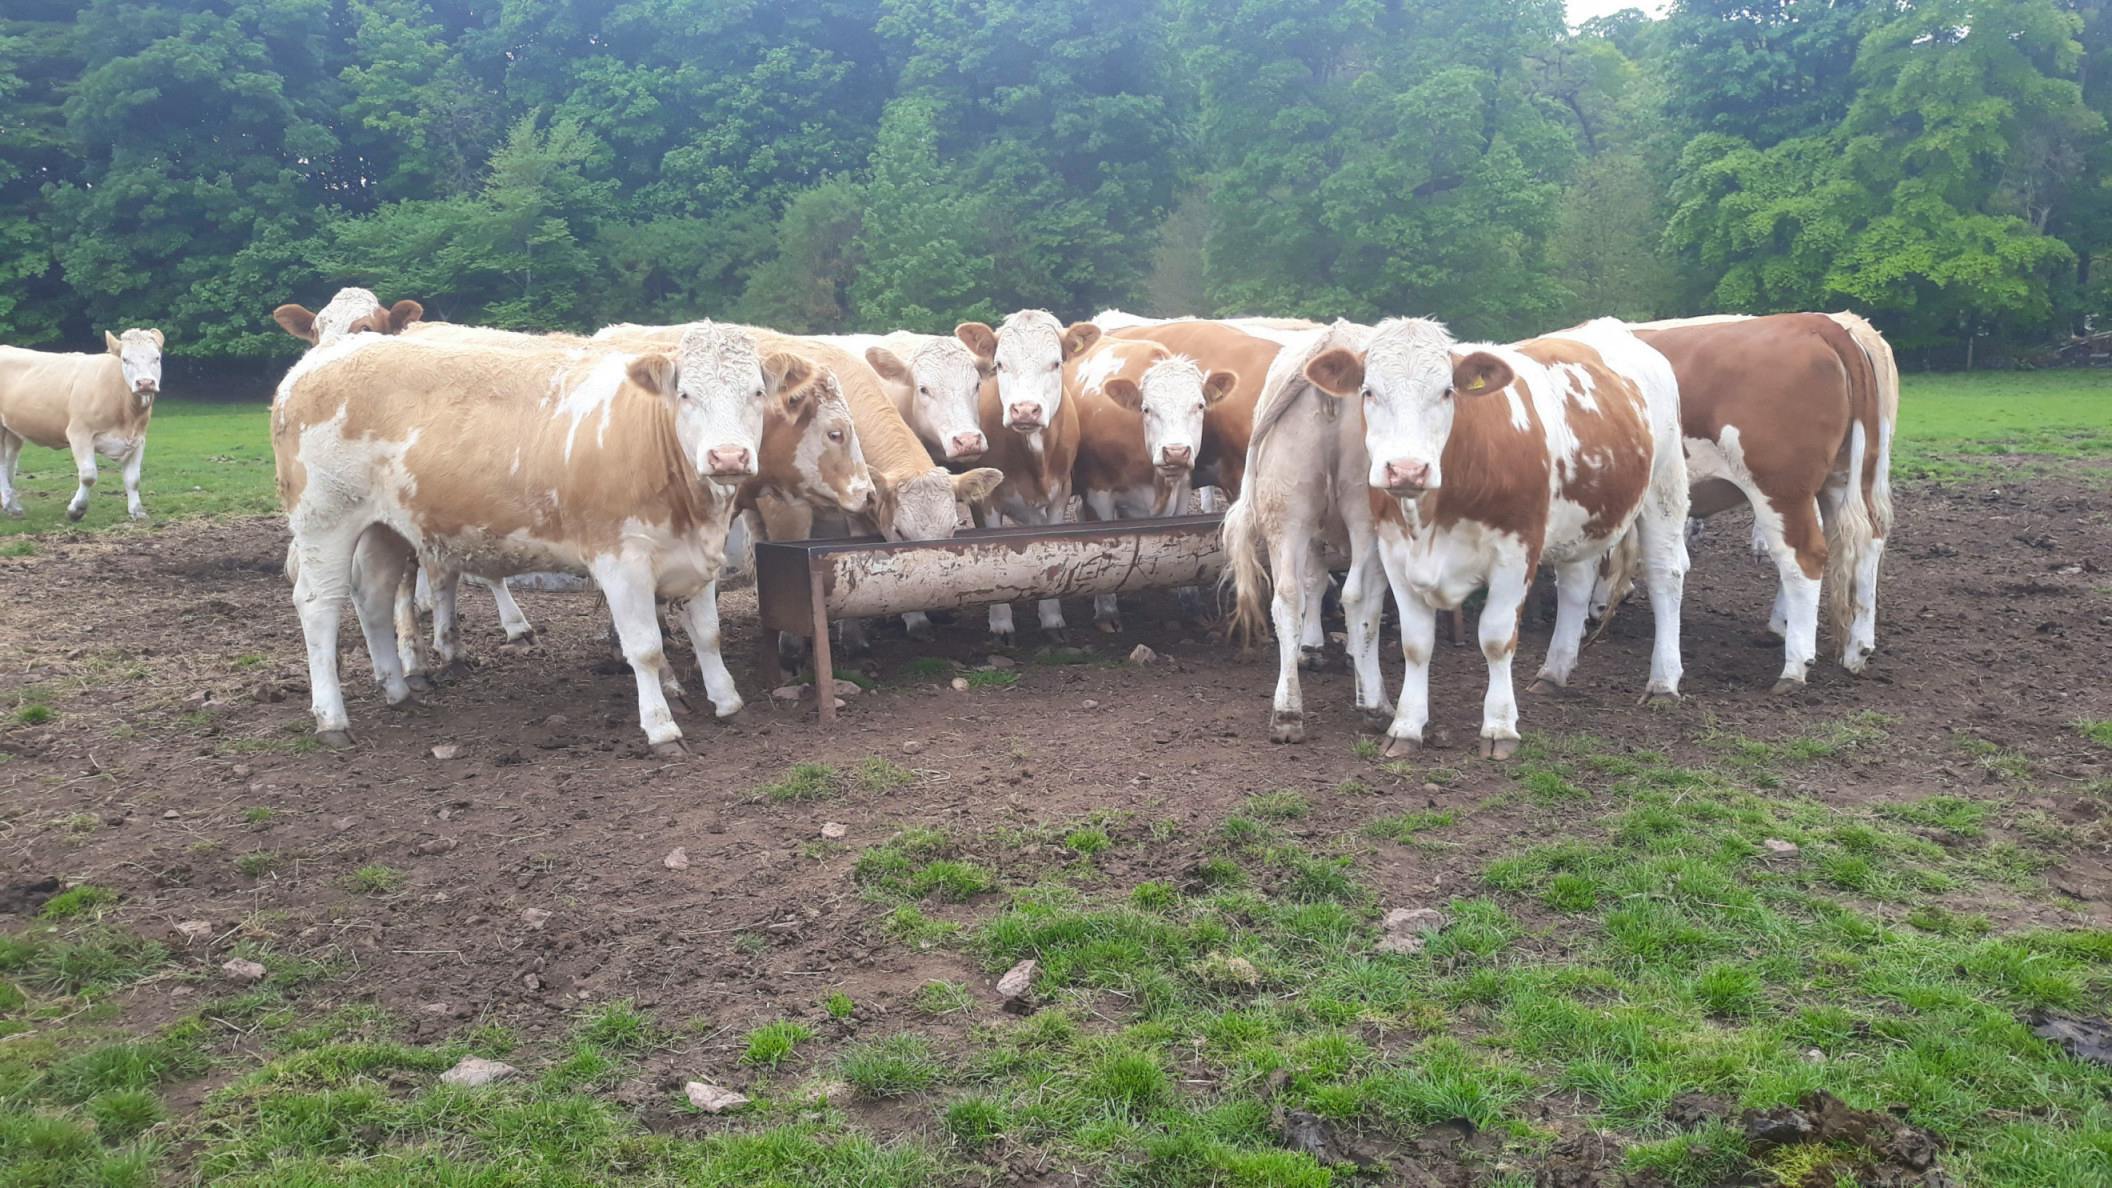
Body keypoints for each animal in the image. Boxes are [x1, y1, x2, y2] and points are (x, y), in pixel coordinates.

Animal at [0, 329, 165, 522]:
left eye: (156, 357)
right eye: (125, 359)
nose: (145, 383)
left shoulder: (138, 439)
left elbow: (133, 479)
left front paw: (137, 511)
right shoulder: (79, 433)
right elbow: (88, 475)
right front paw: (76, 509)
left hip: (12, 429)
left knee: (10, 464)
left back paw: (11, 505)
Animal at [272, 321, 802, 752]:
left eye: (757, 392)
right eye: (687, 394)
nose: (728, 457)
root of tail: (323, 357)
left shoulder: (696, 554)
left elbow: (708, 635)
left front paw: (727, 701)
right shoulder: (620, 558)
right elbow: (646, 647)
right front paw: (660, 727)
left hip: (384, 527)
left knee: (374, 597)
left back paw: (398, 690)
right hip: (325, 518)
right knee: (319, 606)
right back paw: (332, 719)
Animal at [954, 310, 1102, 639]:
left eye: (1056, 363)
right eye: (1000, 364)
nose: (1024, 410)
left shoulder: (1060, 493)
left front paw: (1051, 616)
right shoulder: (986, 500)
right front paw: (1001, 622)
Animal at [1225, 317, 1689, 760]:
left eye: (1447, 391)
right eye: (1369, 391)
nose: (1407, 469)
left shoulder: (1516, 552)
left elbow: (1496, 639)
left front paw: (1499, 728)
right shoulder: (1397, 553)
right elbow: (1415, 643)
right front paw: (1407, 728)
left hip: (1664, 487)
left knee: (1665, 575)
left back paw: (1663, 682)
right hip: (1291, 507)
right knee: (1576, 583)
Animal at [1612, 312, 1896, 689]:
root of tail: (1818, 322)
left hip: (1781, 489)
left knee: (1803, 557)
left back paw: (1794, 665)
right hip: (1845, 480)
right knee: (1866, 546)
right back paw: (1858, 649)